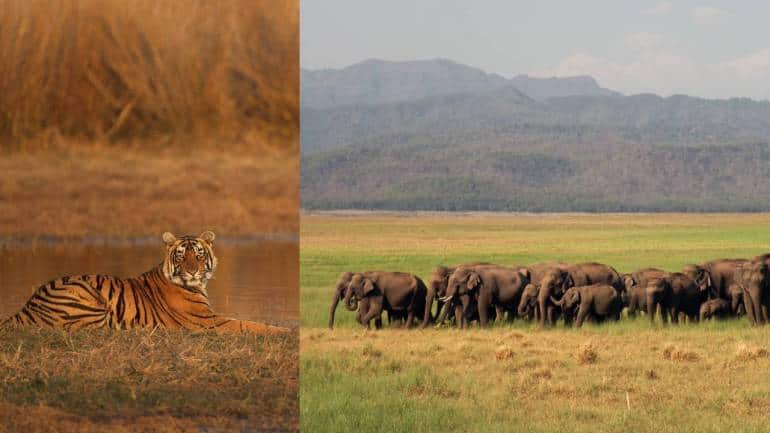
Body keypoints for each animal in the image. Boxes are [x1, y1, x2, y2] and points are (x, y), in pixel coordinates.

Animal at [1, 231, 289, 334]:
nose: (193, 272)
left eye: (199, 254)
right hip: (89, 297)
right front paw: (285, 331)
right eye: (181, 256)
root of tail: (26, 306)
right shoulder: (208, 321)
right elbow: (248, 324)